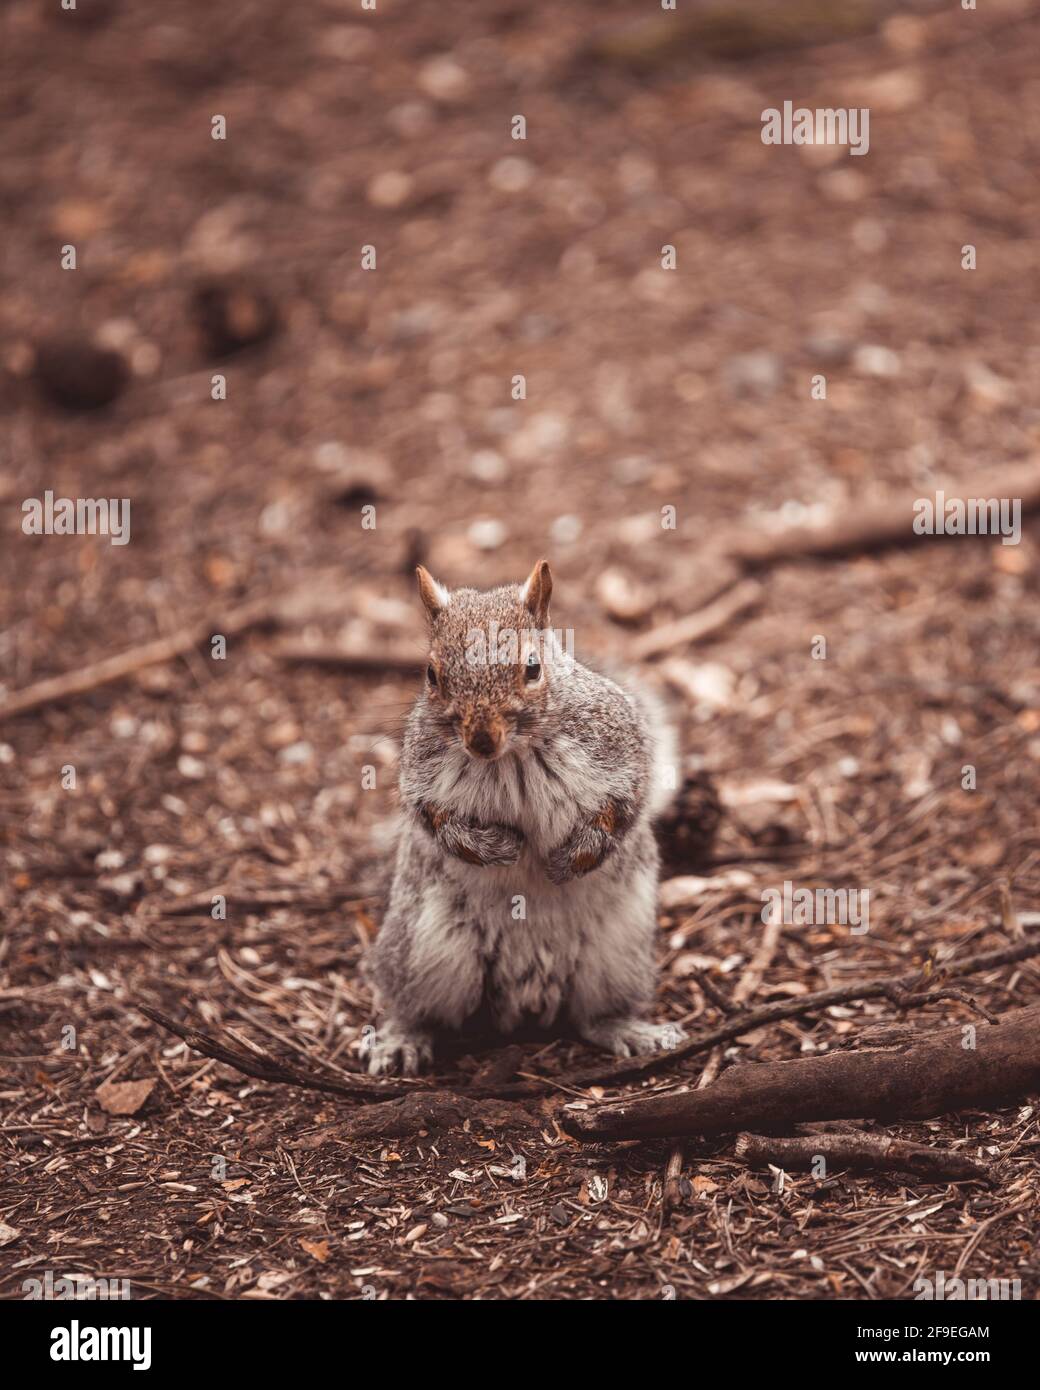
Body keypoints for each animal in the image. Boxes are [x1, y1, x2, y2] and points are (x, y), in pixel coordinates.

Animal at [362, 559, 686, 1075]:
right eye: (431, 674)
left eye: (532, 668)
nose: (481, 739)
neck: (511, 756)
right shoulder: (420, 776)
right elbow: (436, 820)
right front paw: (497, 848)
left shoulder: (624, 749)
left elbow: (623, 809)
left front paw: (568, 860)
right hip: (421, 950)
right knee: (419, 1010)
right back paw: (402, 1037)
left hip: (618, 953)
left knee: (594, 1015)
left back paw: (629, 1030)